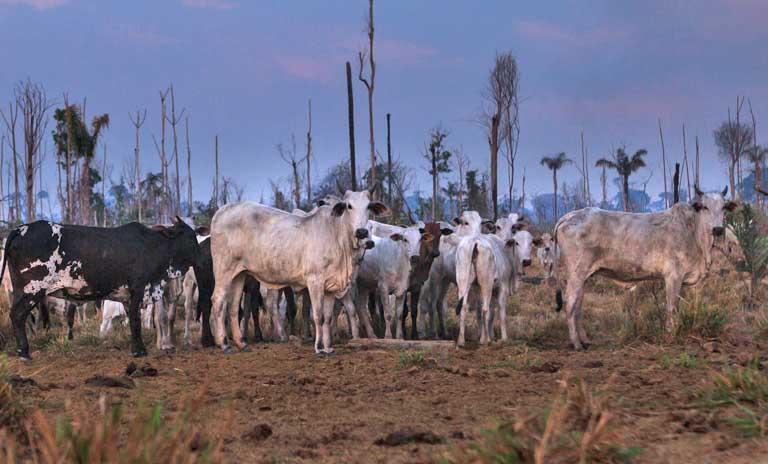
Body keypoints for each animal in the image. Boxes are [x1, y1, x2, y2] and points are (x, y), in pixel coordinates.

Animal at [0, 217, 204, 360]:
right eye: (190, 237)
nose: (202, 257)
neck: (153, 247)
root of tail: (20, 229)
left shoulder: (127, 297)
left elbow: (132, 322)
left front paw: (136, 349)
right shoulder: (138, 290)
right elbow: (136, 322)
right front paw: (140, 351)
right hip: (31, 290)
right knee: (17, 315)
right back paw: (24, 353)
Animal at [210, 190, 388, 354]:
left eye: (368, 206)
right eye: (349, 206)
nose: (362, 232)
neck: (336, 235)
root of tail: (222, 211)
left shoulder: (330, 287)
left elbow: (328, 317)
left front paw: (329, 347)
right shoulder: (315, 281)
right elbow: (318, 316)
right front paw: (319, 347)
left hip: (239, 273)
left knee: (233, 306)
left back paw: (241, 343)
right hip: (224, 269)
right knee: (218, 300)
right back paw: (224, 344)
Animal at [553, 186, 736, 351]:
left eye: (723, 207)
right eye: (705, 206)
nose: (718, 229)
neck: (694, 234)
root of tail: (569, 216)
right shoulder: (673, 276)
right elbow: (672, 307)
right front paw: (670, 334)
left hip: (583, 277)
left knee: (578, 307)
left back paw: (584, 340)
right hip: (576, 274)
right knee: (570, 304)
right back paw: (576, 344)